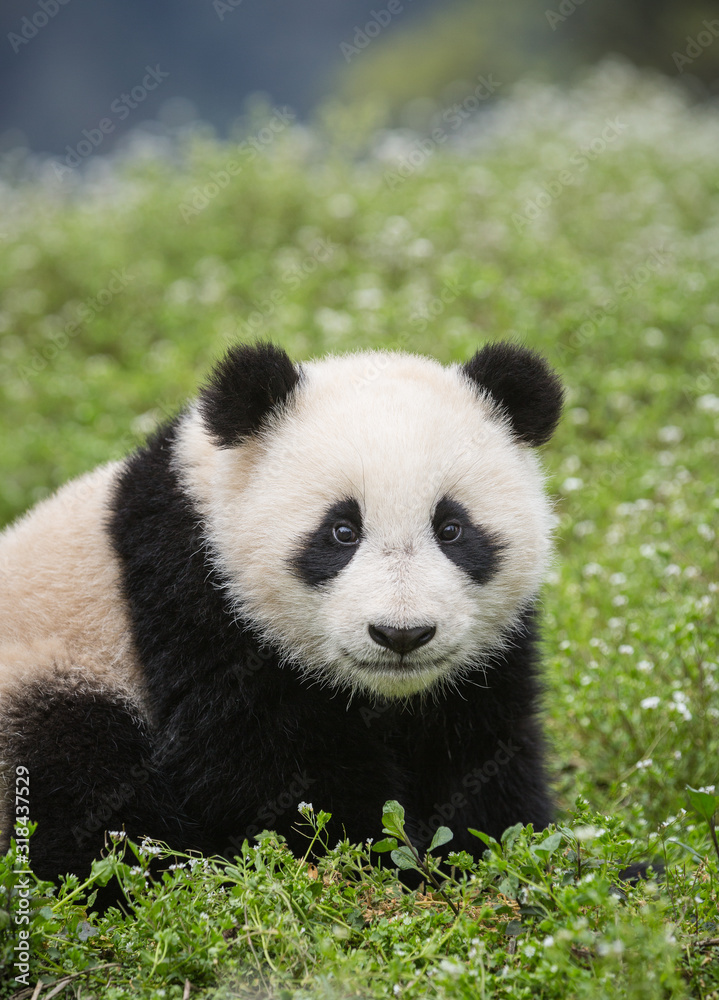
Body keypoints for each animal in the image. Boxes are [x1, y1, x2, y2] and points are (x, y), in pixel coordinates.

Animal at [0, 340, 563, 887]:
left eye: (451, 529)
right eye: (341, 531)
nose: (401, 635)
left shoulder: (483, 670)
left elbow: (482, 756)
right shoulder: (194, 606)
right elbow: (265, 774)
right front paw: (373, 869)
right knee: (78, 773)